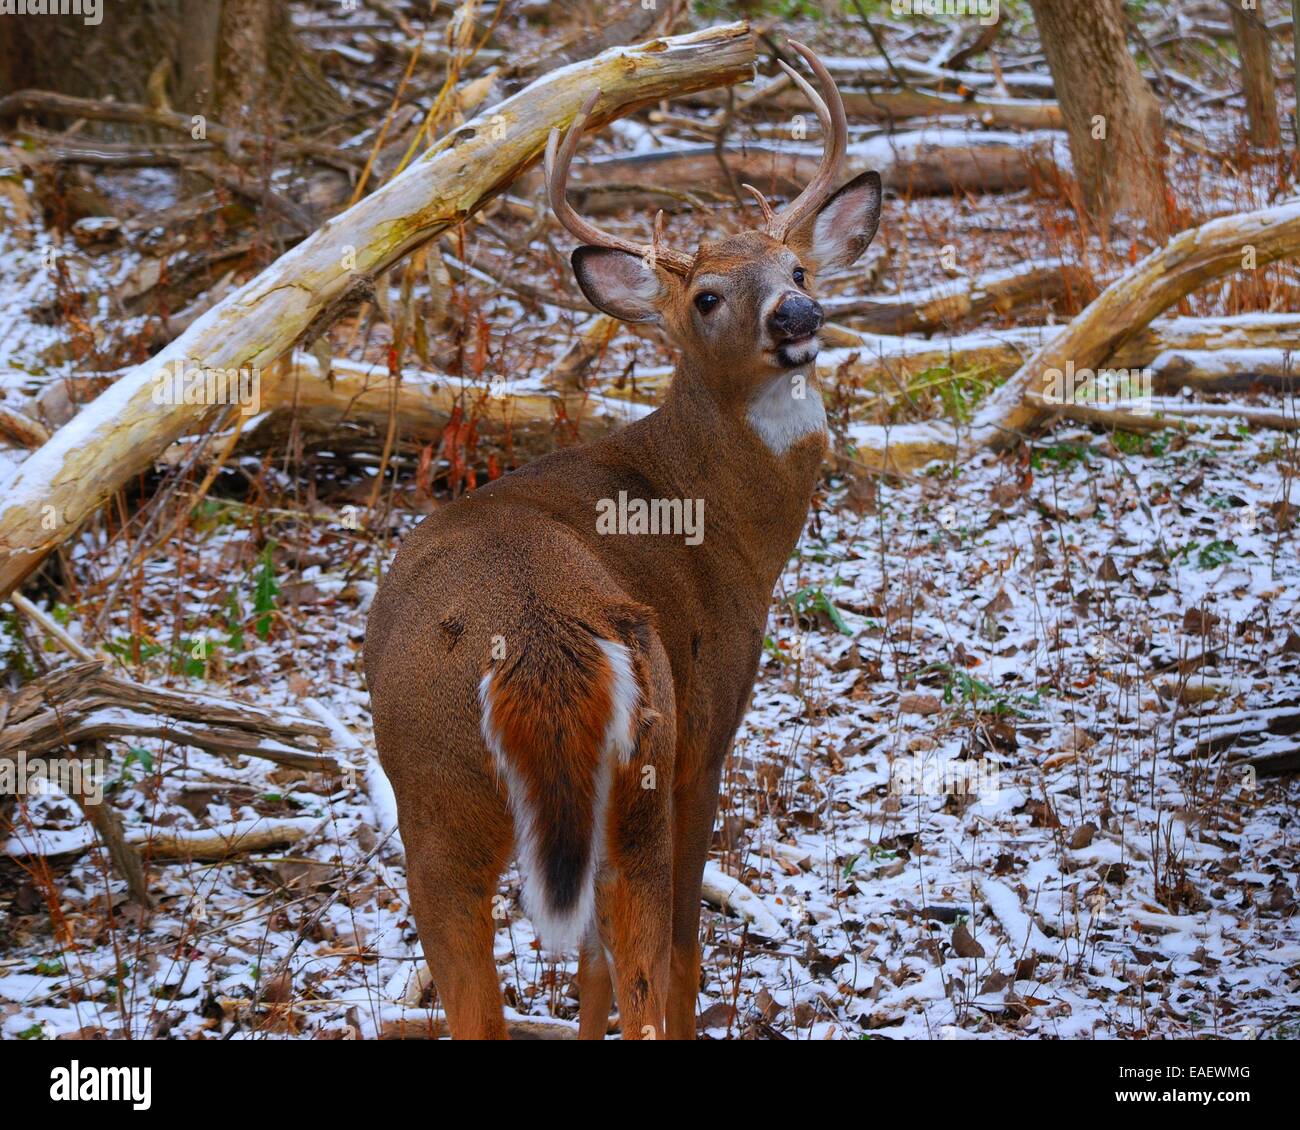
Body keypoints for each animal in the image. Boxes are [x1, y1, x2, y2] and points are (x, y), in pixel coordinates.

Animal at [364, 41, 881, 1040]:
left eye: (799, 270)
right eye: (709, 297)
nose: (796, 319)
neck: (719, 525)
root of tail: (538, 647)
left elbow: (593, 973)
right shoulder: (707, 730)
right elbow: (683, 958)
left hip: (466, 806)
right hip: (622, 772)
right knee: (652, 971)